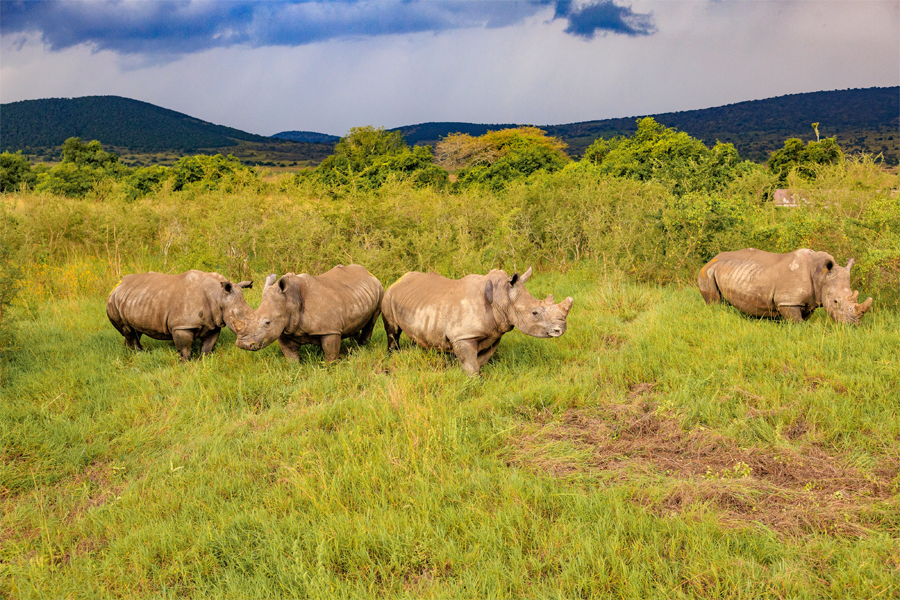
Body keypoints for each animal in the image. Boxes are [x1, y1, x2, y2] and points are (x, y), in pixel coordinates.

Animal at [106, 270, 254, 360]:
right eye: (238, 319)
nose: (252, 345)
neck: (219, 295)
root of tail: (117, 285)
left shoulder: (213, 324)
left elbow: (208, 345)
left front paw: (203, 360)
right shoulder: (182, 326)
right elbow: (184, 348)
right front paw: (186, 363)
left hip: (134, 298)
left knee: (135, 330)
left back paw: (130, 353)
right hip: (113, 301)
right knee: (128, 331)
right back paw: (140, 354)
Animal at [234, 264, 384, 362]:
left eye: (267, 322)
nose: (243, 344)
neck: (290, 301)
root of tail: (367, 272)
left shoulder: (330, 330)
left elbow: (330, 352)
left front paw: (331, 367)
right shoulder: (283, 329)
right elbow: (290, 354)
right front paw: (295, 369)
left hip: (380, 288)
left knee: (372, 320)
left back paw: (362, 346)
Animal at [381, 266, 574, 375]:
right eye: (534, 313)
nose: (561, 329)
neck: (502, 298)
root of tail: (399, 279)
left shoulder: (495, 333)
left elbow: (481, 359)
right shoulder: (463, 336)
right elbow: (471, 364)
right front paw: (473, 380)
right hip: (388, 294)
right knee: (392, 331)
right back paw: (393, 354)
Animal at [698, 248, 873, 324]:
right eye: (836, 302)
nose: (854, 325)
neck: (821, 275)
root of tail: (710, 260)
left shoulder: (809, 300)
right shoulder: (788, 301)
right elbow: (798, 322)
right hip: (707, 272)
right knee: (714, 302)